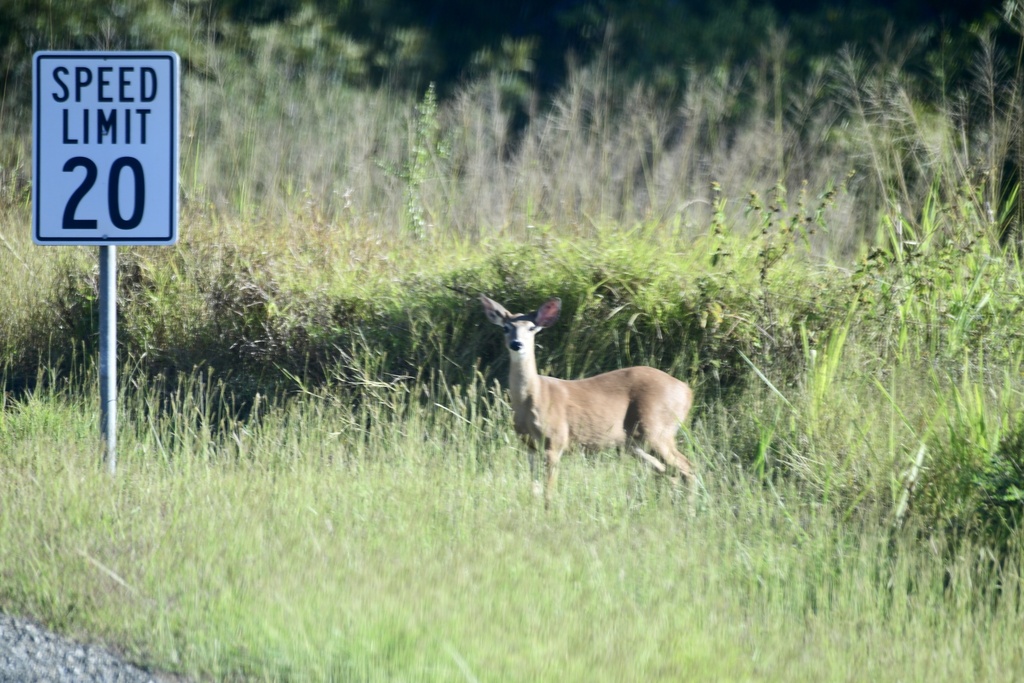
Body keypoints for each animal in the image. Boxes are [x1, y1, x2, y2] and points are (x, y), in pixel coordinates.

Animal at [480, 294, 695, 506]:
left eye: (532, 328)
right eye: (506, 328)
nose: (516, 344)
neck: (534, 397)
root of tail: (687, 391)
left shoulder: (556, 440)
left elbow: (548, 491)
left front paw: (548, 509)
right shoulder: (529, 446)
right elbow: (534, 488)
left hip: (657, 430)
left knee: (686, 467)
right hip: (634, 442)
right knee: (667, 470)